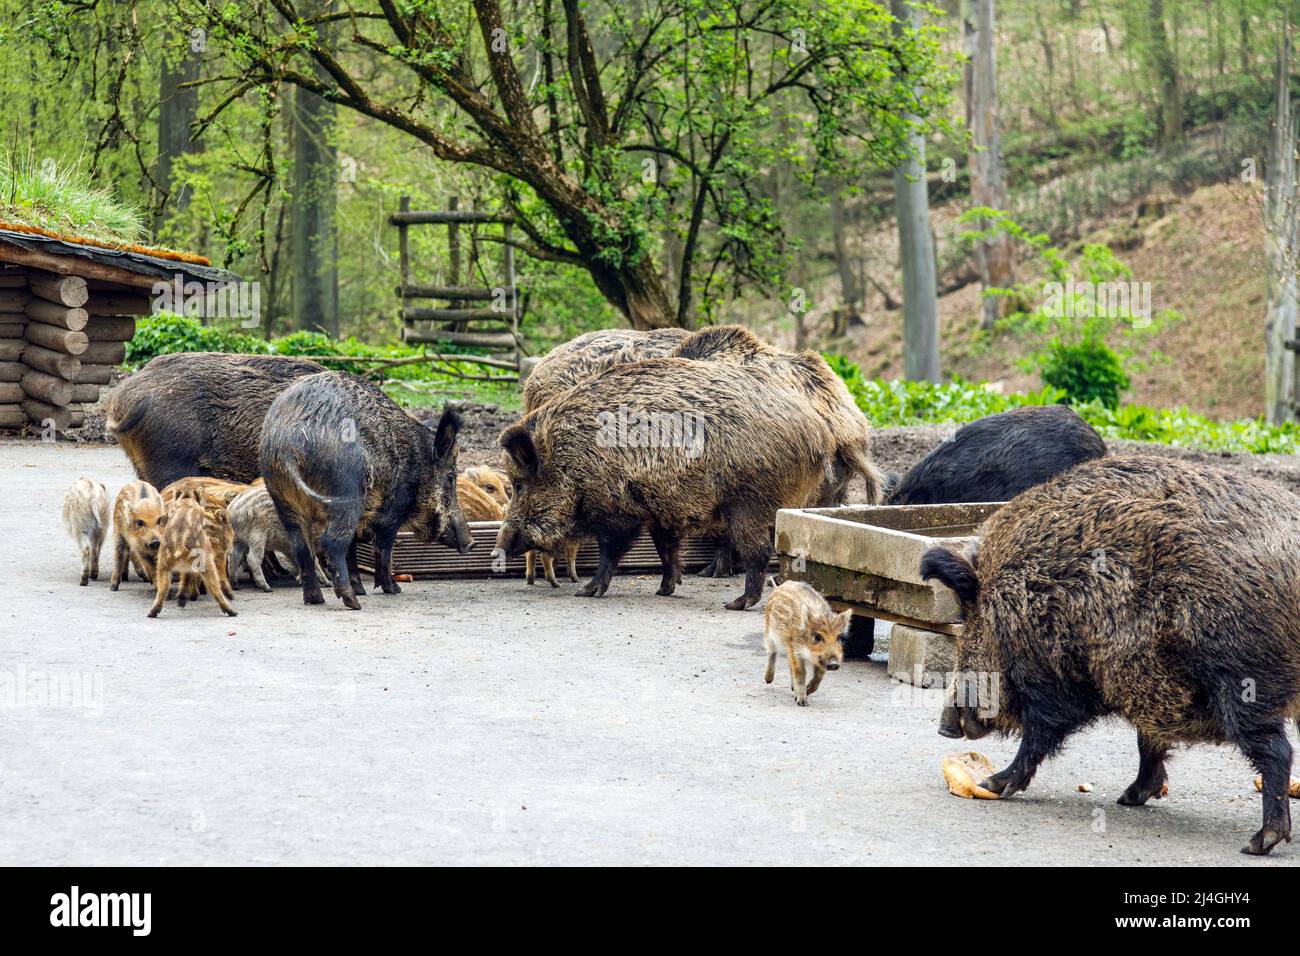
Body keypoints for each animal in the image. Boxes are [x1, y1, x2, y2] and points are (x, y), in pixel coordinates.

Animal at [259, 371, 472, 610]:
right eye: (451, 478)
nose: (471, 543)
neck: (420, 467)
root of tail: (287, 441)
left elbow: (353, 550)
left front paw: (362, 589)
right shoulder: (391, 512)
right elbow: (383, 548)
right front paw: (393, 590)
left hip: (283, 499)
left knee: (302, 548)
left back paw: (315, 599)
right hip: (346, 491)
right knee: (331, 542)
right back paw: (352, 602)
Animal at [496, 357, 833, 610]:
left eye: (518, 485)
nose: (496, 549)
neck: (570, 458)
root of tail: (816, 431)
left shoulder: (617, 510)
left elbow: (611, 552)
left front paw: (586, 592)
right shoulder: (659, 510)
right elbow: (666, 549)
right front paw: (664, 590)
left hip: (748, 503)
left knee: (760, 551)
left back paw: (736, 603)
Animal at [920, 456, 1300, 856]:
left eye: (968, 619)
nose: (944, 728)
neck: (1017, 604)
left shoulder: (1055, 679)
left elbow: (1038, 737)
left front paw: (993, 785)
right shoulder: (1142, 686)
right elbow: (1147, 742)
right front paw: (1130, 798)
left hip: (1244, 681)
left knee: (1276, 751)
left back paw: (1257, 843)